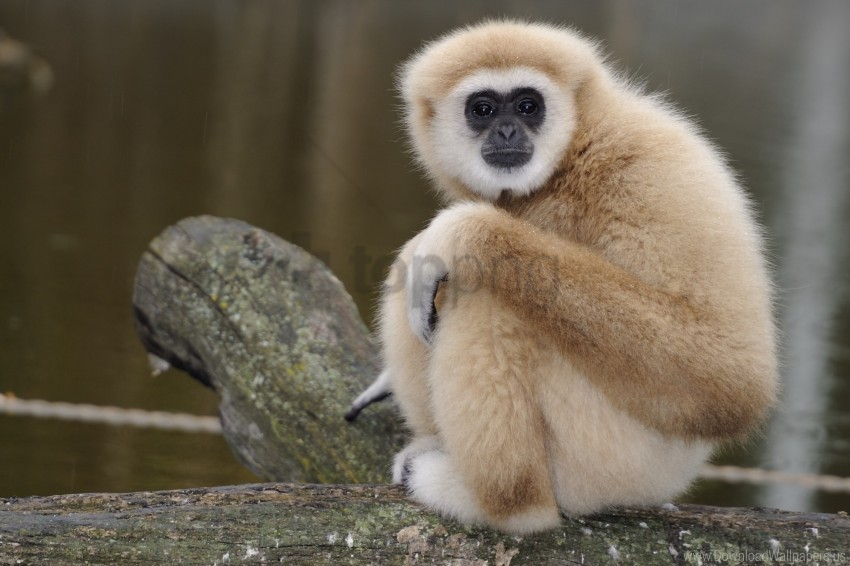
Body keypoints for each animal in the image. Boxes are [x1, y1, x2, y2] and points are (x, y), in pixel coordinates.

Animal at [347, 20, 778, 534]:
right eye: (483, 109)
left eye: (528, 106)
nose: (507, 128)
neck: (571, 156)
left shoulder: (652, 169)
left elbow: (728, 378)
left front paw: (462, 232)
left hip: (609, 458)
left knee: (482, 293)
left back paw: (506, 506)